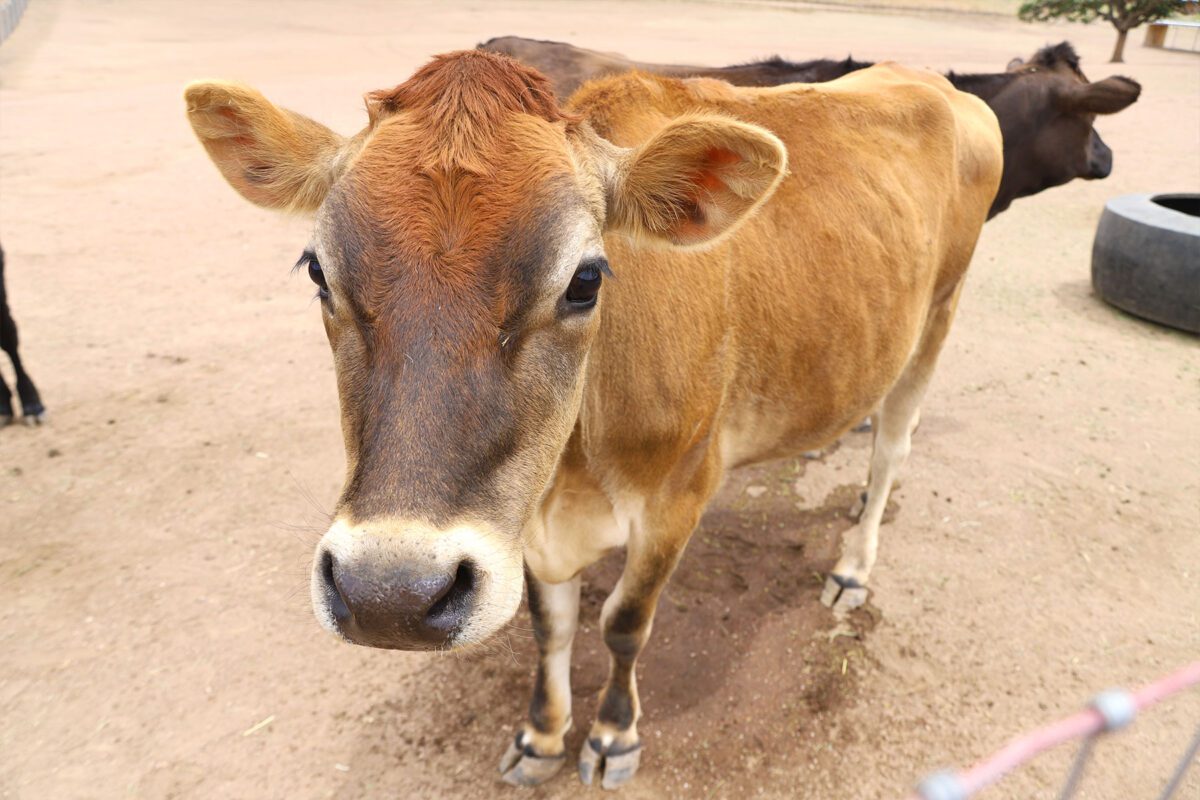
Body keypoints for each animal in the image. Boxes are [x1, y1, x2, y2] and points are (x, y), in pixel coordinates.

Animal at [184, 50, 1001, 788]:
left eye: (584, 279)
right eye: (318, 271)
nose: (390, 597)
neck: (572, 474)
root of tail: (933, 82)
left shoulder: (679, 495)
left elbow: (623, 622)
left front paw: (612, 735)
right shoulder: (523, 522)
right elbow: (552, 626)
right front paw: (542, 735)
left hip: (938, 316)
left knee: (892, 449)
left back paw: (853, 565)